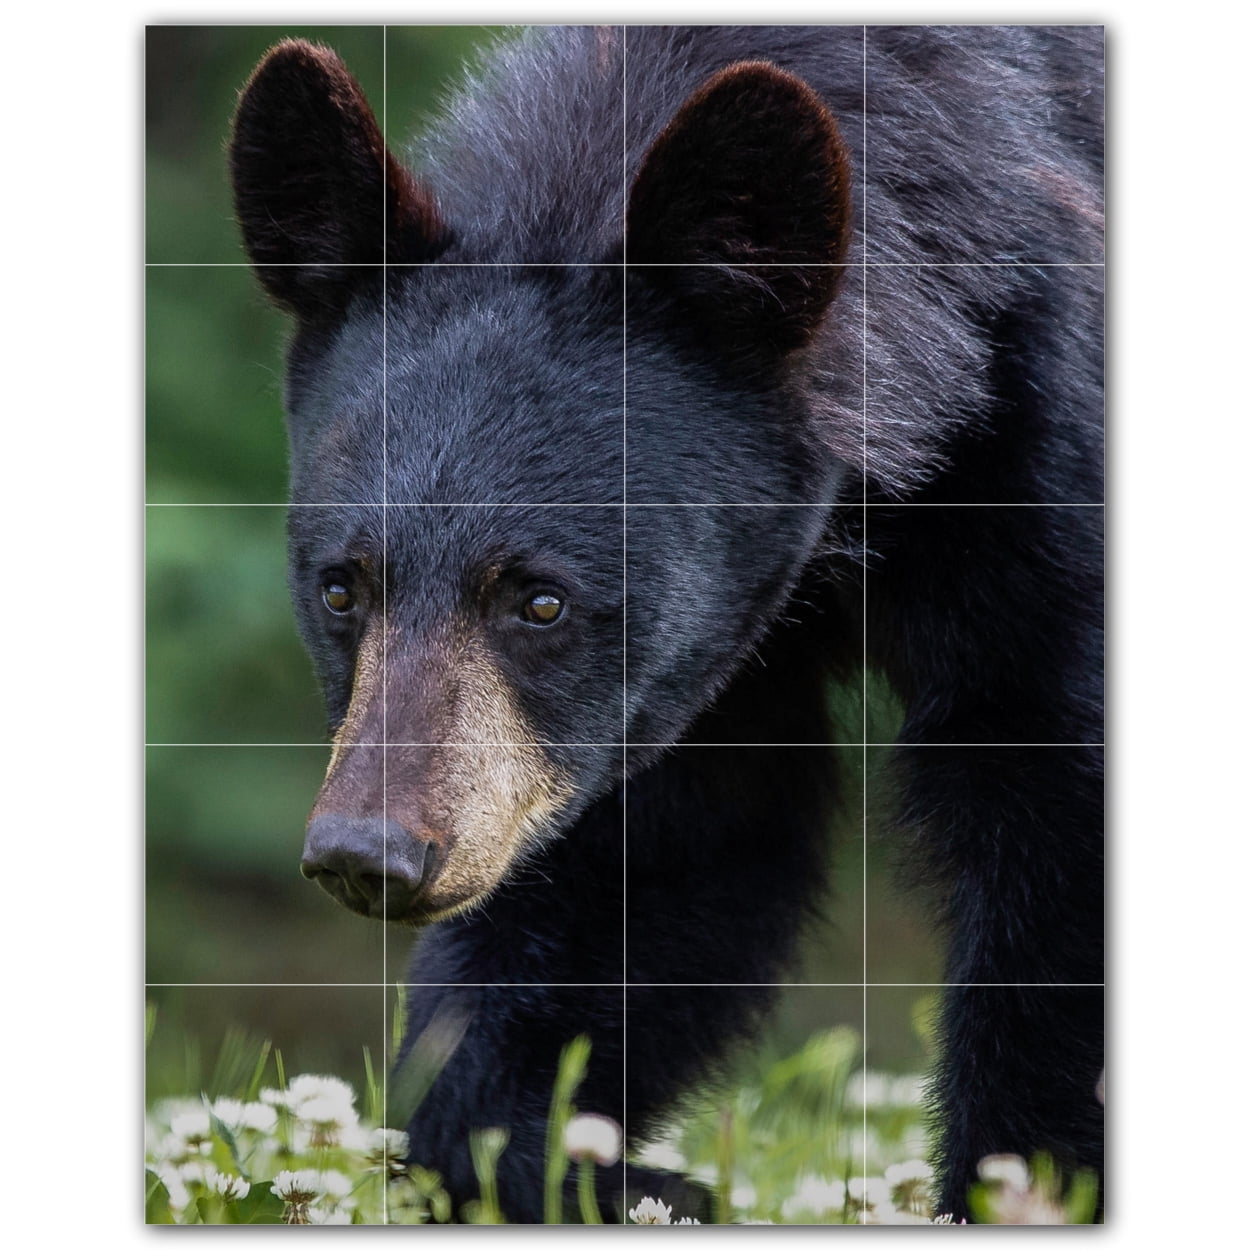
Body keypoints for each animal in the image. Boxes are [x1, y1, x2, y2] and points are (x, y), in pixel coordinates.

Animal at [228, 25, 1104, 1223]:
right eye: (341, 588)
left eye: (539, 597)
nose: (372, 854)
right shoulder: (675, 675)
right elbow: (659, 856)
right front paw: (588, 1164)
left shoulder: (1041, 436)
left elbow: (1054, 794)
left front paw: (1023, 1176)